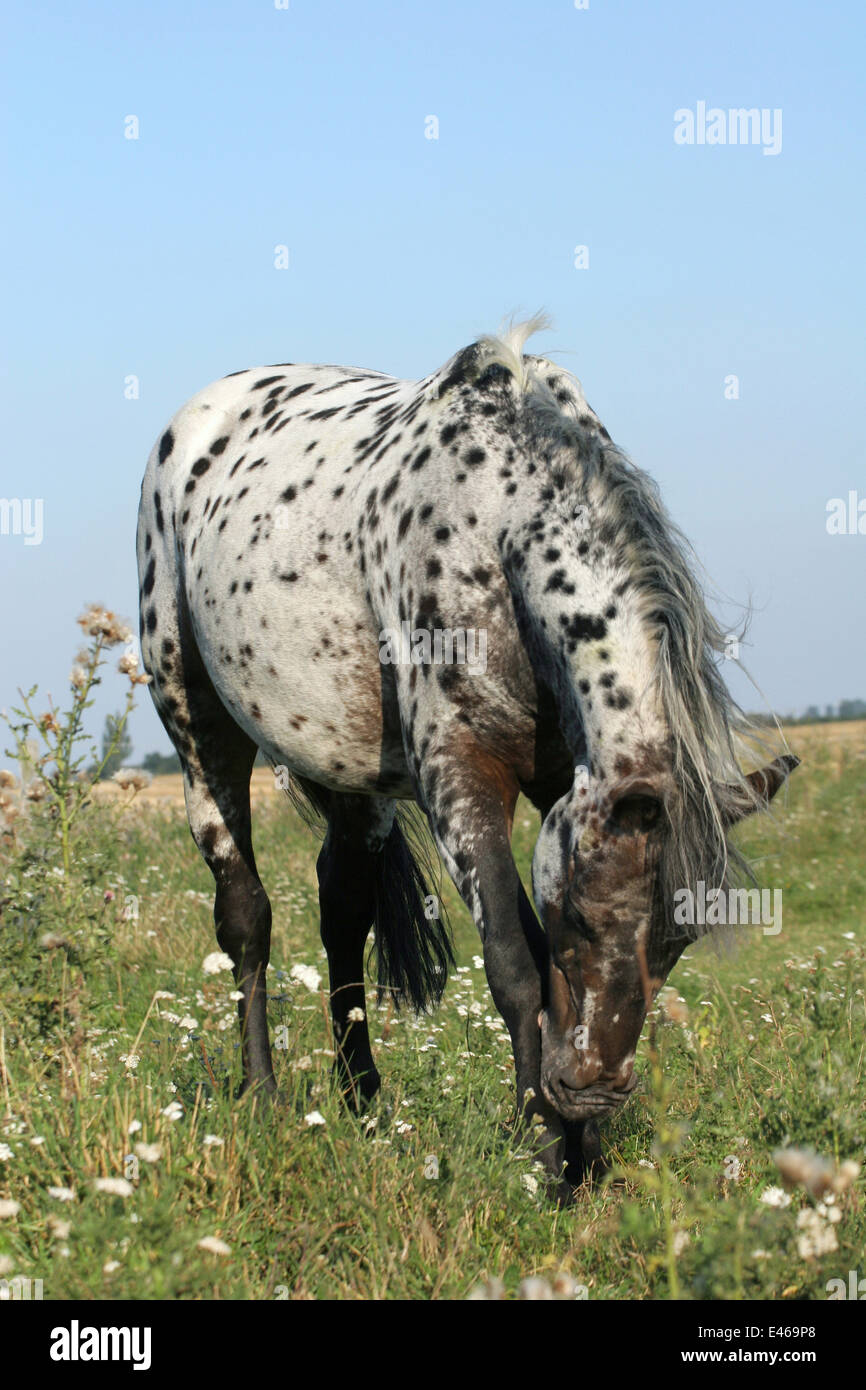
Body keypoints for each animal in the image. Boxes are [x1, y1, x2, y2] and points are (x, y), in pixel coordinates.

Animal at [136, 316, 797, 1201]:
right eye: (585, 916)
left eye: (679, 940)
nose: (591, 1089)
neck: (492, 527)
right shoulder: (462, 776)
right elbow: (518, 966)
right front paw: (543, 1156)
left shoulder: (557, 785)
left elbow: (540, 971)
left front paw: (583, 1161)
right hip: (198, 728)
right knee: (245, 915)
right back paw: (265, 1098)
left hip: (355, 781)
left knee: (341, 910)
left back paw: (364, 1104)